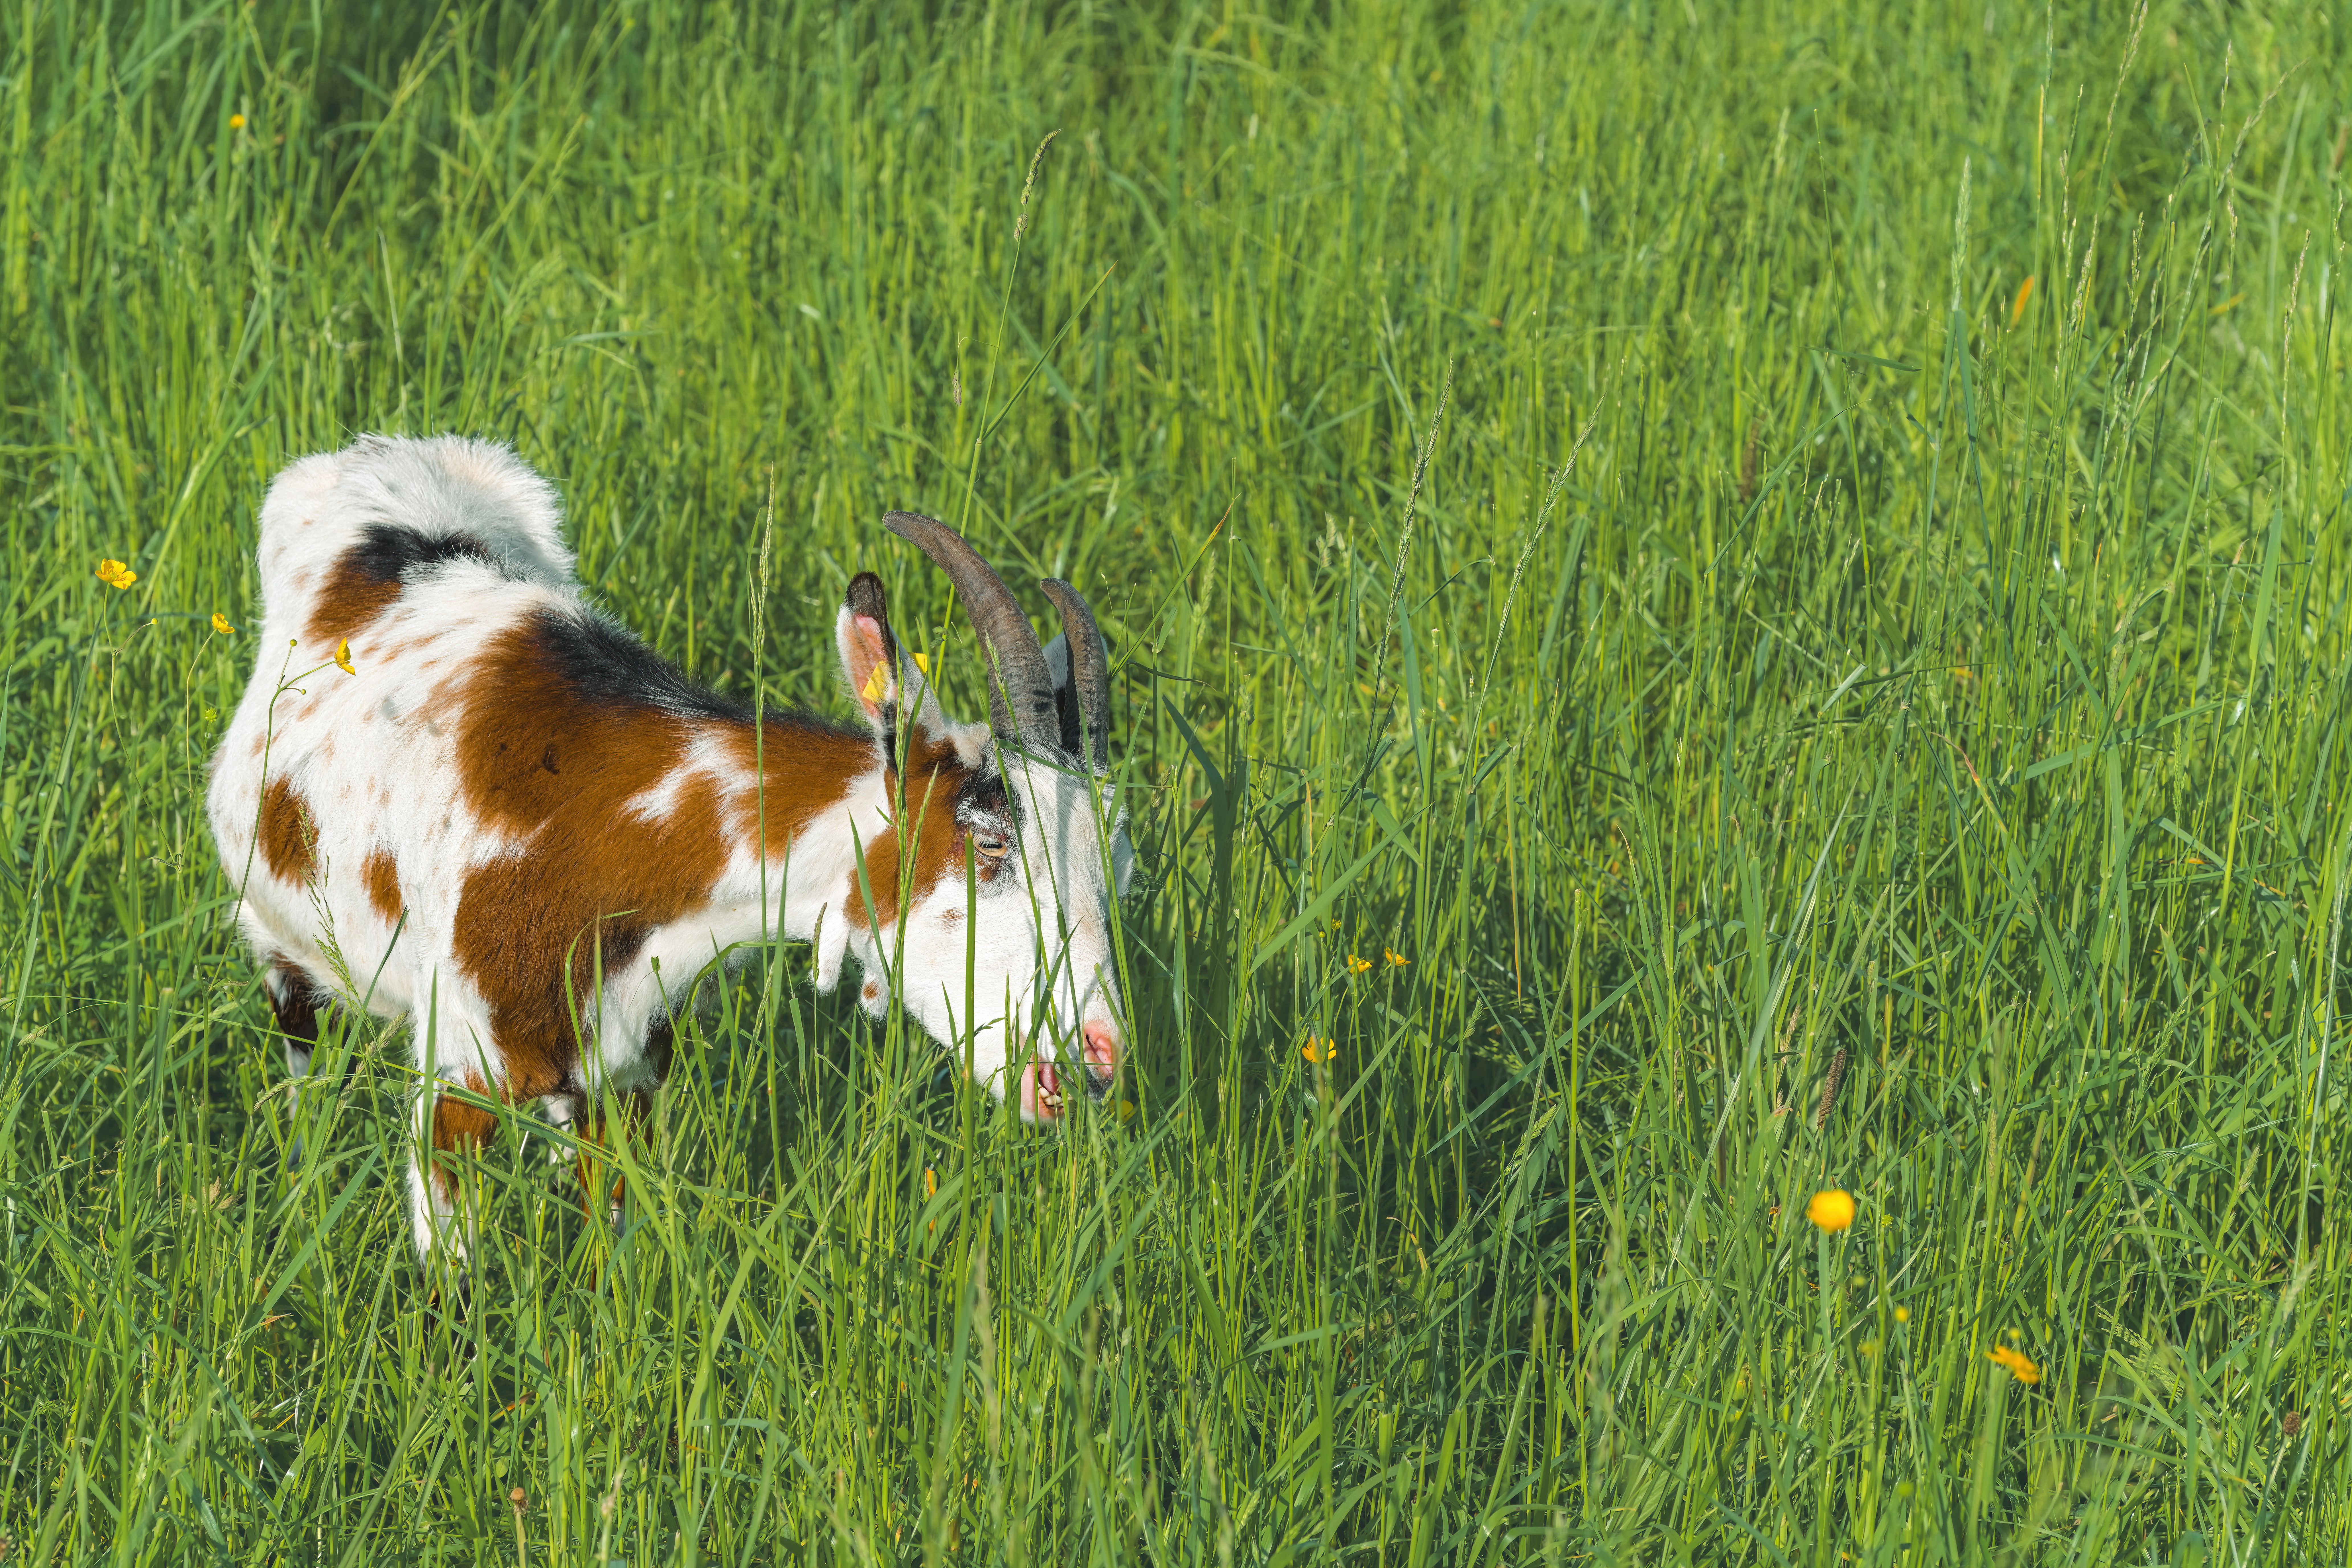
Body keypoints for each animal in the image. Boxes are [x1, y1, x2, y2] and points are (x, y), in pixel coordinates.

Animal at [207, 434, 1132, 1259]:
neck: (593, 837)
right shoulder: (453, 1079)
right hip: (276, 939)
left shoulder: (628, 1077)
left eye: (1117, 868)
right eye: (989, 842)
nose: (1100, 1049)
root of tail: (385, 452)